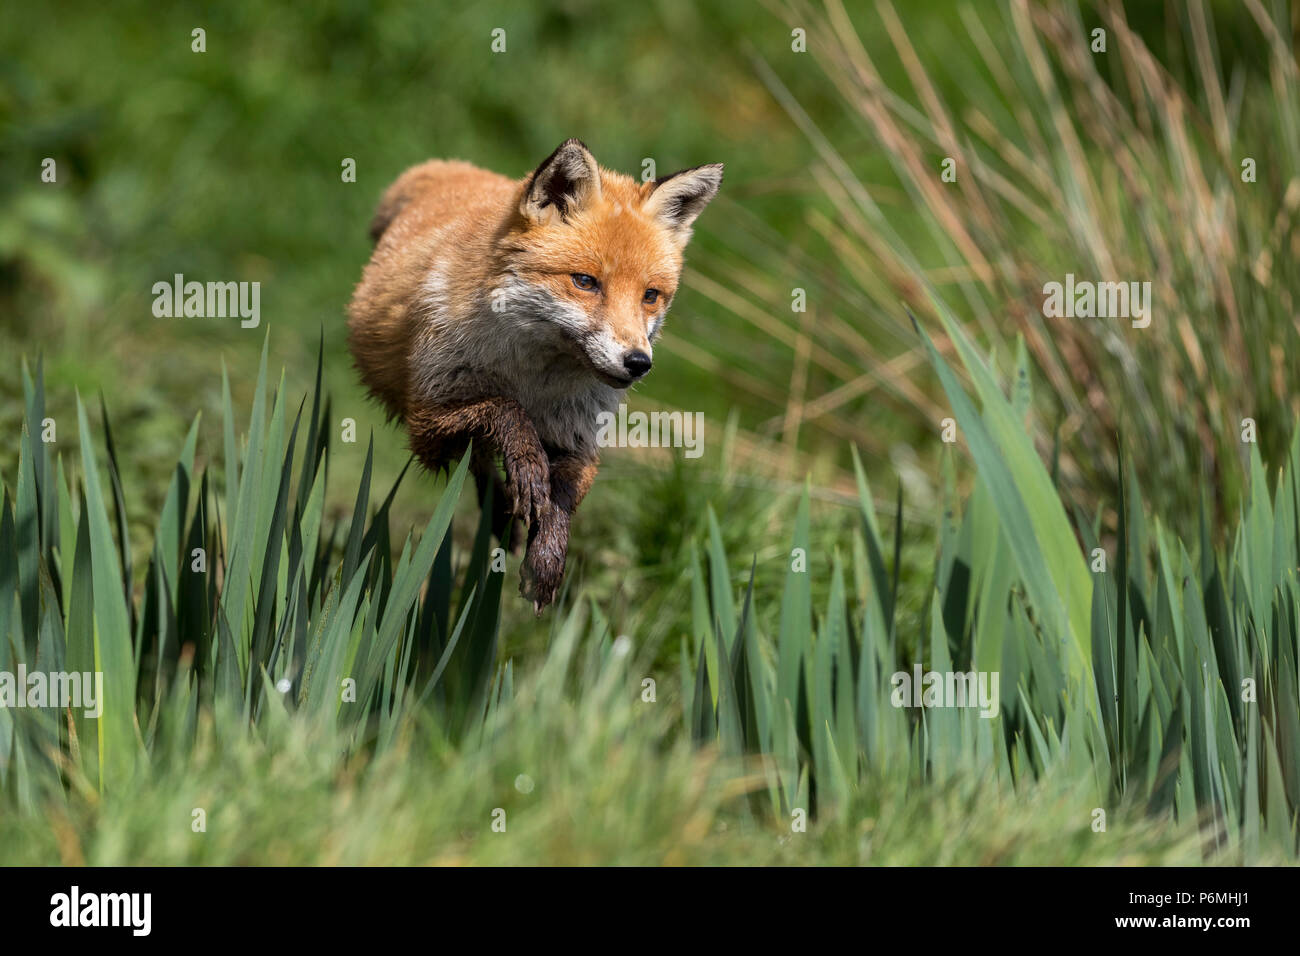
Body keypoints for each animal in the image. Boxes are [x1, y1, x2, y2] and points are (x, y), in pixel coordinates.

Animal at [348, 139, 723, 612]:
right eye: (585, 282)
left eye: (650, 296)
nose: (638, 362)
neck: (535, 380)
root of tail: (454, 169)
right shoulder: (426, 421)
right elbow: (505, 412)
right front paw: (526, 469)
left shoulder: (580, 437)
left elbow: (560, 503)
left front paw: (545, 564)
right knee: (482, 457)